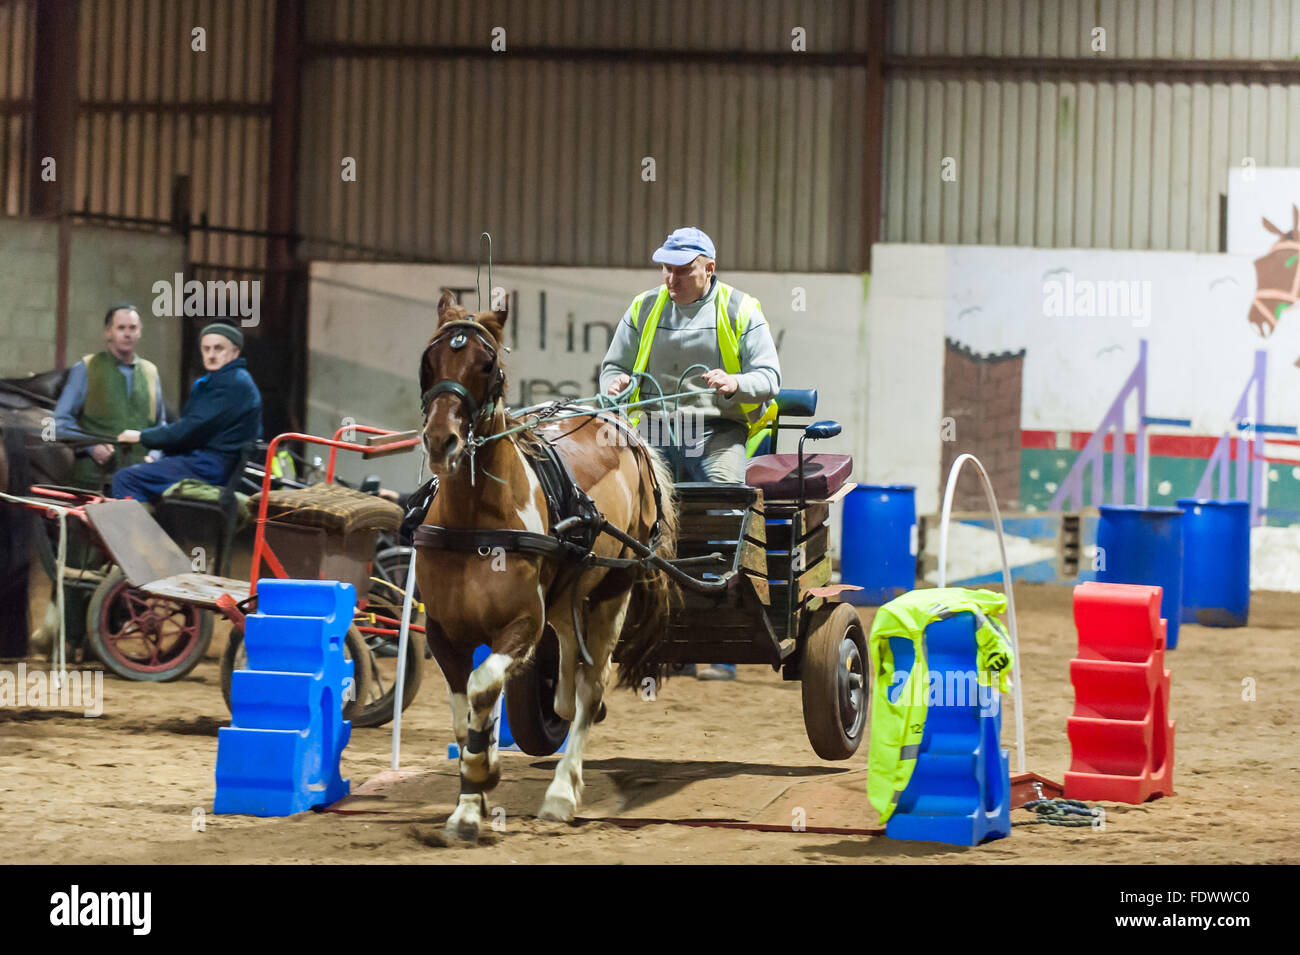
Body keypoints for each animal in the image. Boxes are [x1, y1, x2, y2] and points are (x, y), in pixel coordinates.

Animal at [413, 289, 678, 843]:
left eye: (488, 364)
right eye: (430, 361)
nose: (441, 442)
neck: (476, 520)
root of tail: (622, 427)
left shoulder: (521, 625)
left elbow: (483, 685)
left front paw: (484, 774)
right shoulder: (445, 633)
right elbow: (462, 714)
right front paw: (469, 803)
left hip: (614, 590)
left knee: (592, 683)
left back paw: (561, 791)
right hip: (568, 592)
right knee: (571, 677)